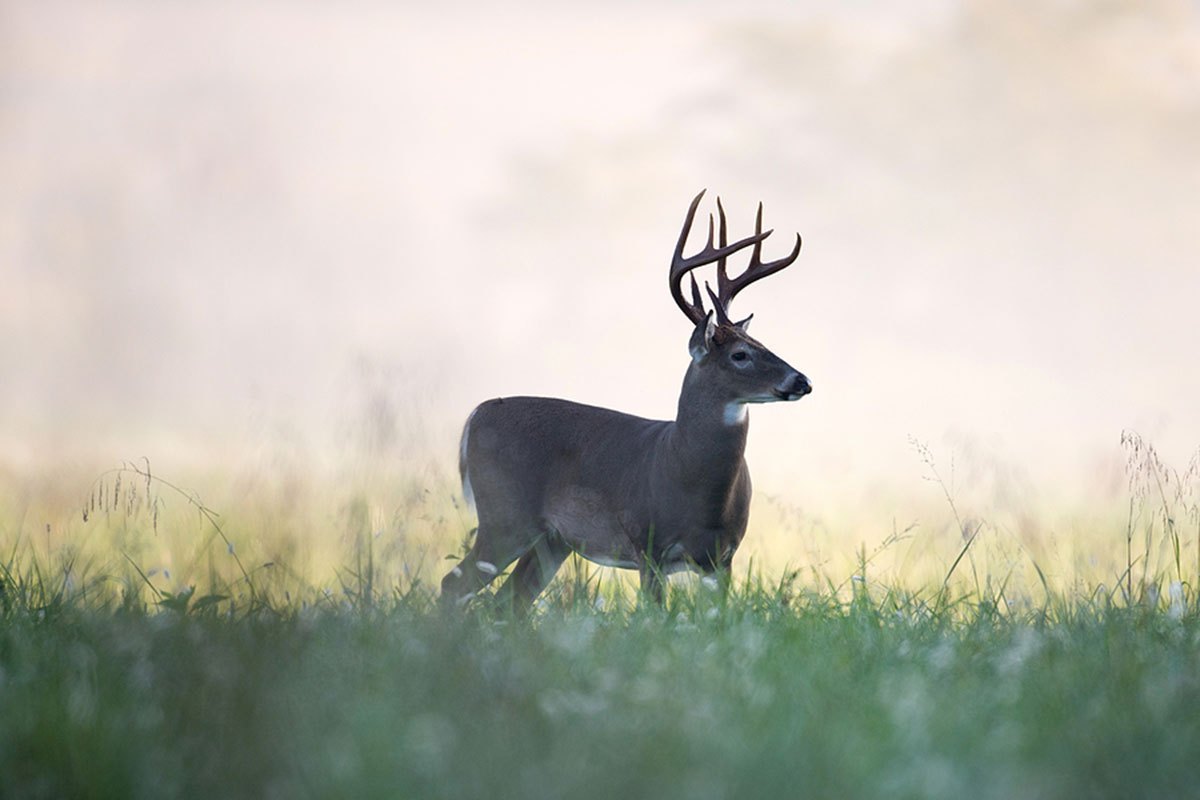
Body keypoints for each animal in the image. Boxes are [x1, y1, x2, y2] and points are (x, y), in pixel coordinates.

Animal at [441, 190, 811, 612]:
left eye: (763, 343)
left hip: (552, 538)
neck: (689, 476)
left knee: (510, 600)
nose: (801, 380)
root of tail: (477, 413)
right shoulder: (647, 544)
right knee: (453, 585)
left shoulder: (723, 558)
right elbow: (655, 617)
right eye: (740, 355)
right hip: (505, 514)